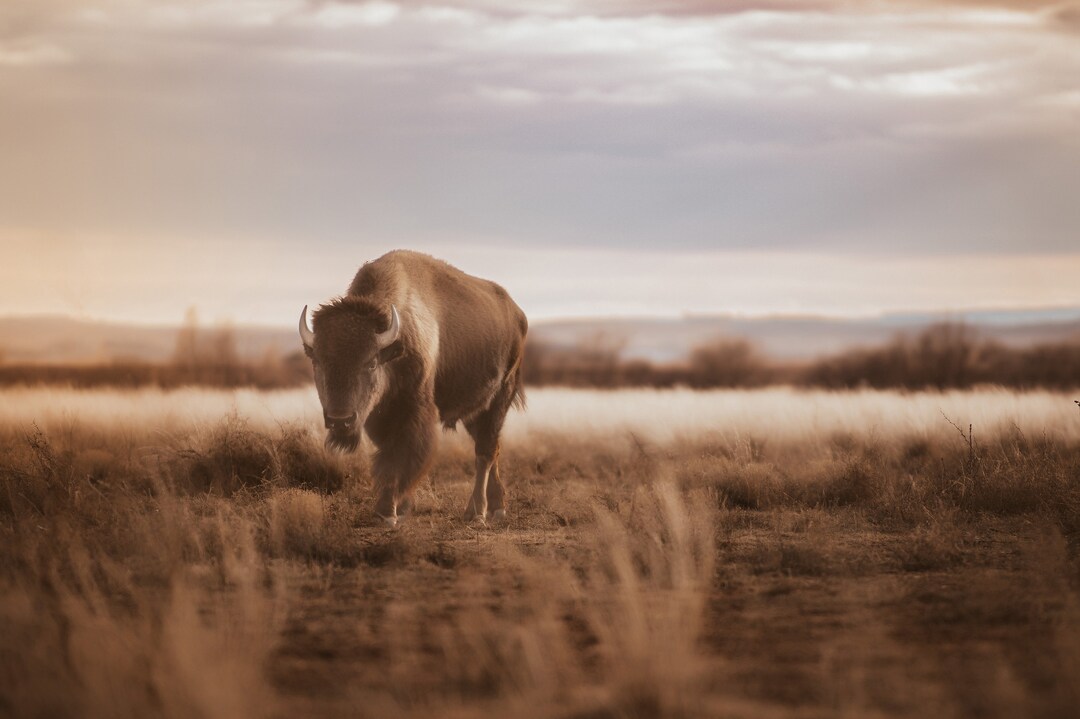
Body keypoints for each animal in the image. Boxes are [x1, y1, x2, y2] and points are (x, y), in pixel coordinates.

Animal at [299, 250, 527, 525]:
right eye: (317, 361)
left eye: (371, 362)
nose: (340, 420)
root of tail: (517, 314)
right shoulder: (376, 418)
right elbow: (387, 455)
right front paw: (399, 508)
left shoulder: (412, 413)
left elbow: (399, 458)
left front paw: (387, 513)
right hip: (475, 411)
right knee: (492, 450)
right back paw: (494, 508)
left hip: (500, 398)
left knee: (485, 452)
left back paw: (478, 513)